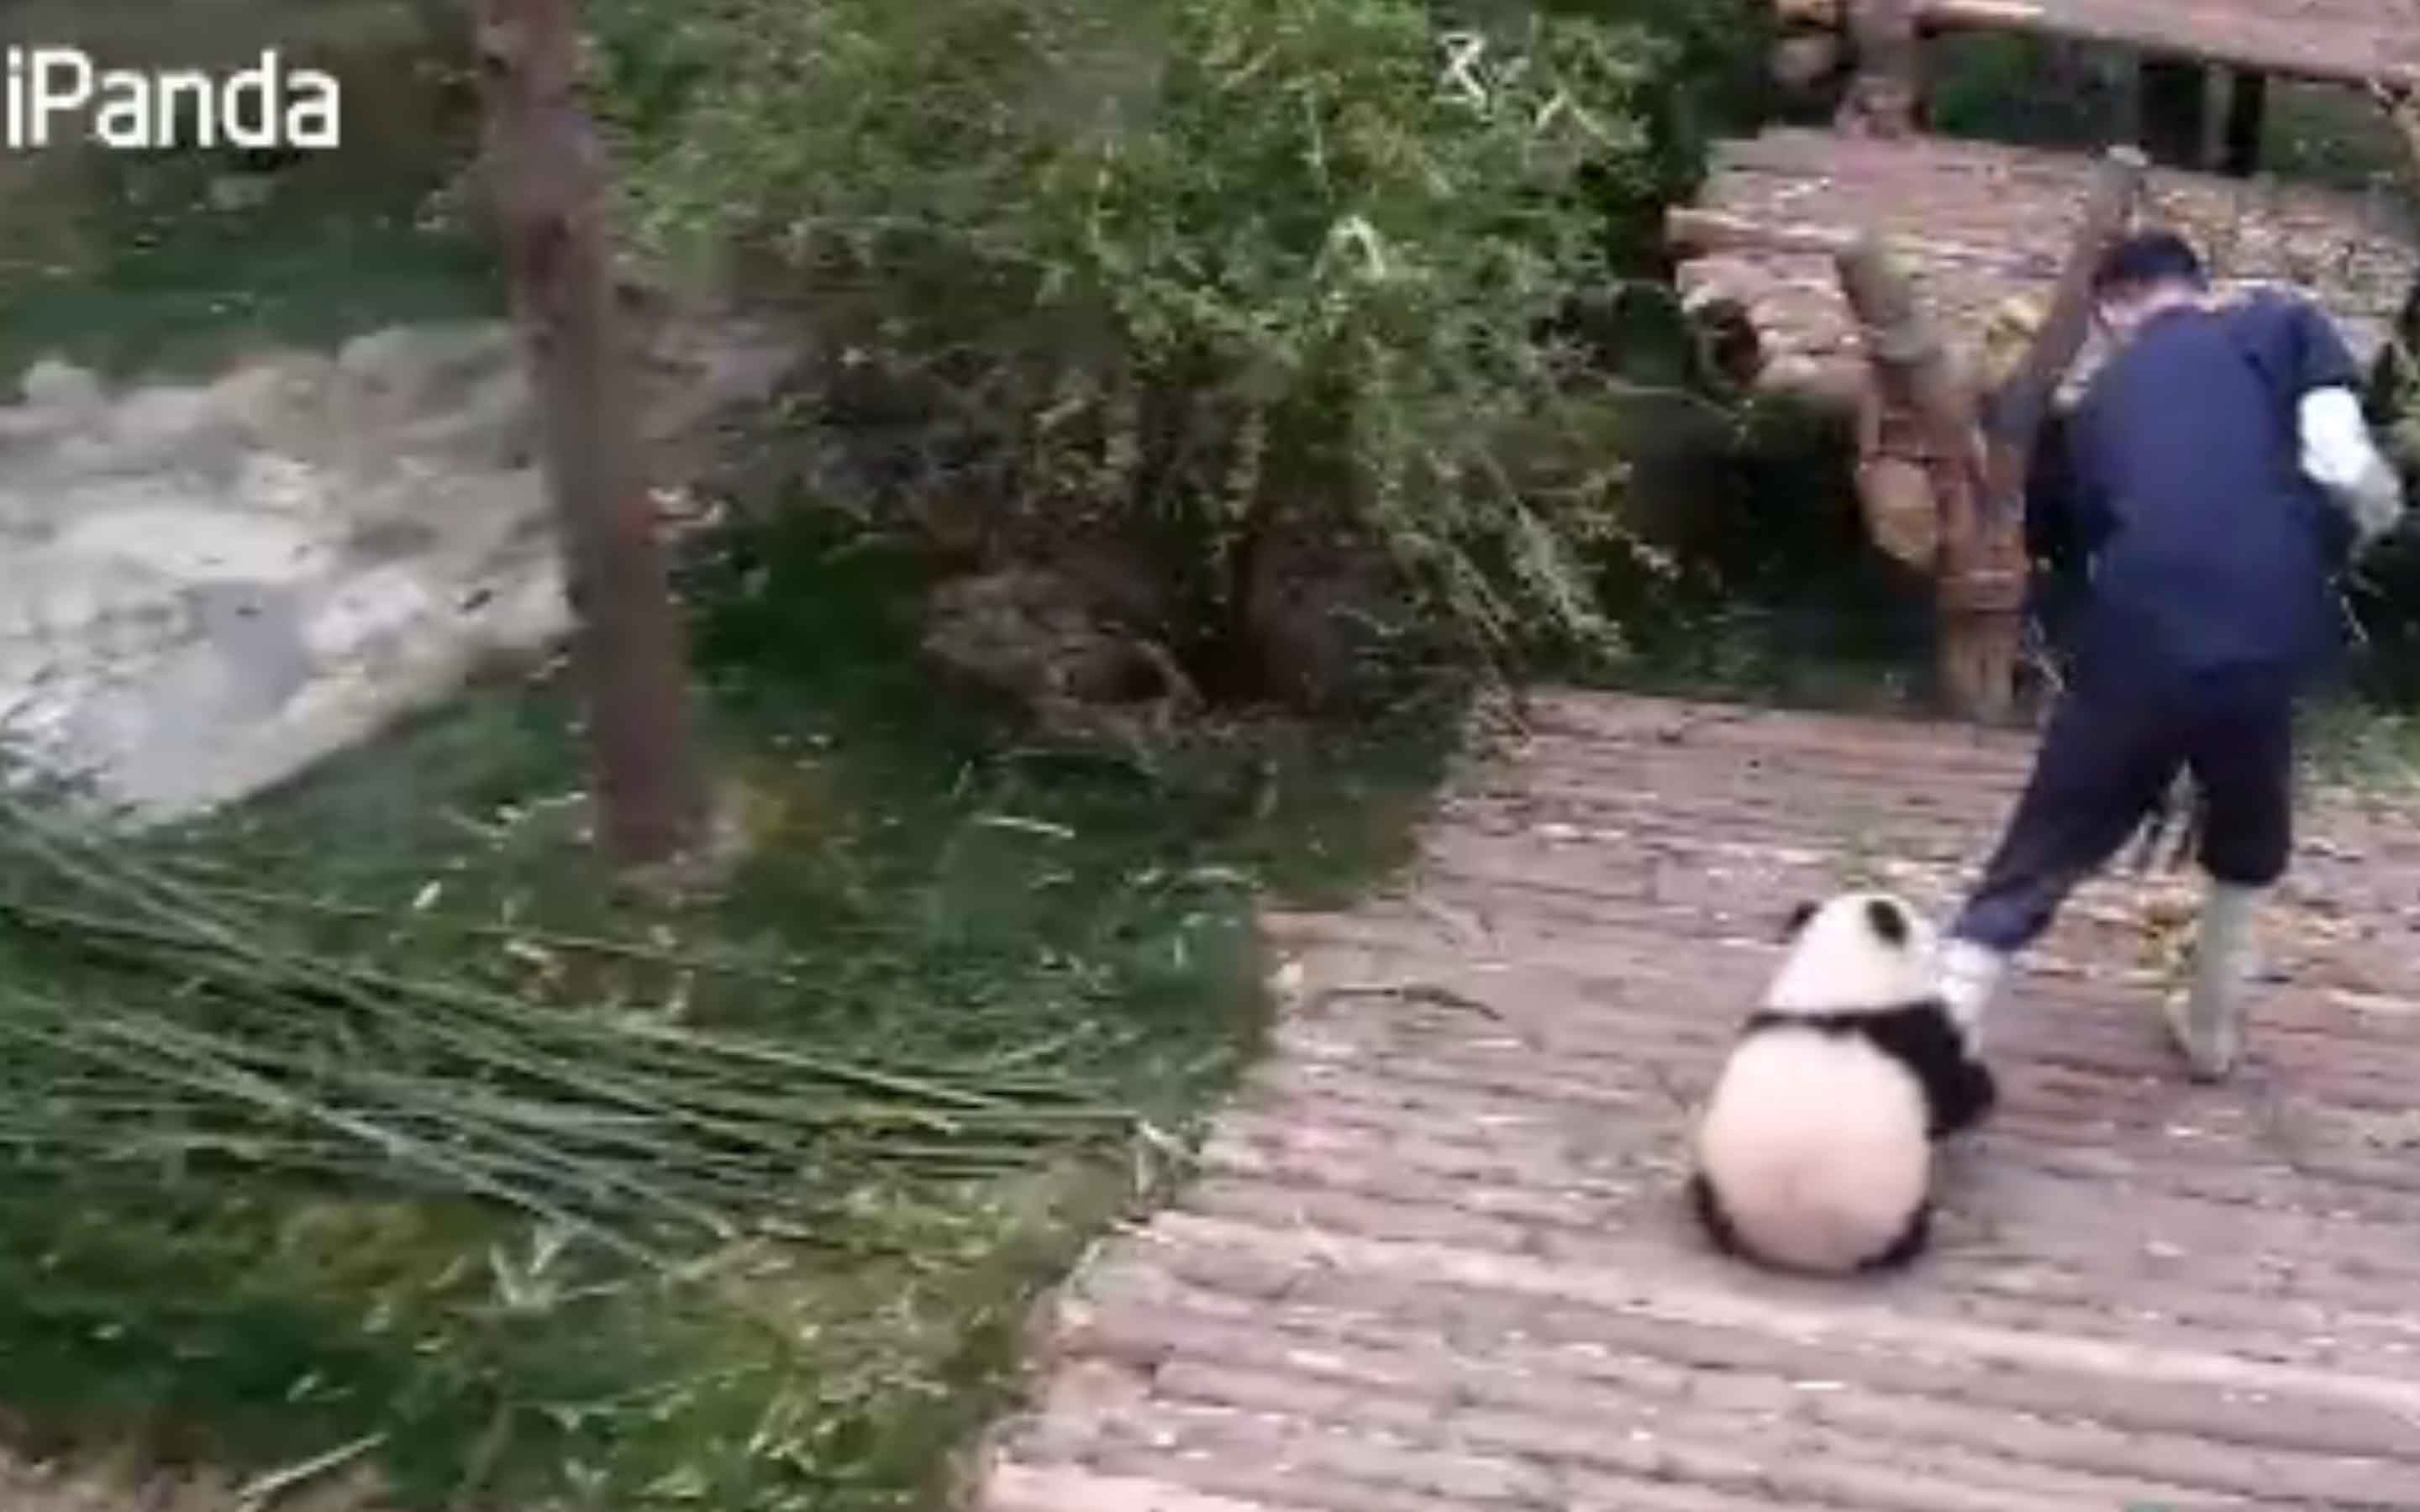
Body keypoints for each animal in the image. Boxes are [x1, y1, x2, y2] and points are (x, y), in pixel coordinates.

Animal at [1686, 889, 1997, 1276]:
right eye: (1924, 925)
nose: (1939, 937)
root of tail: (1801, 1251)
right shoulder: (1915, 1035)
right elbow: (1952, 1100)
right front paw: (1982, 1085)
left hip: (1719, 1192)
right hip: (1892, 1212)